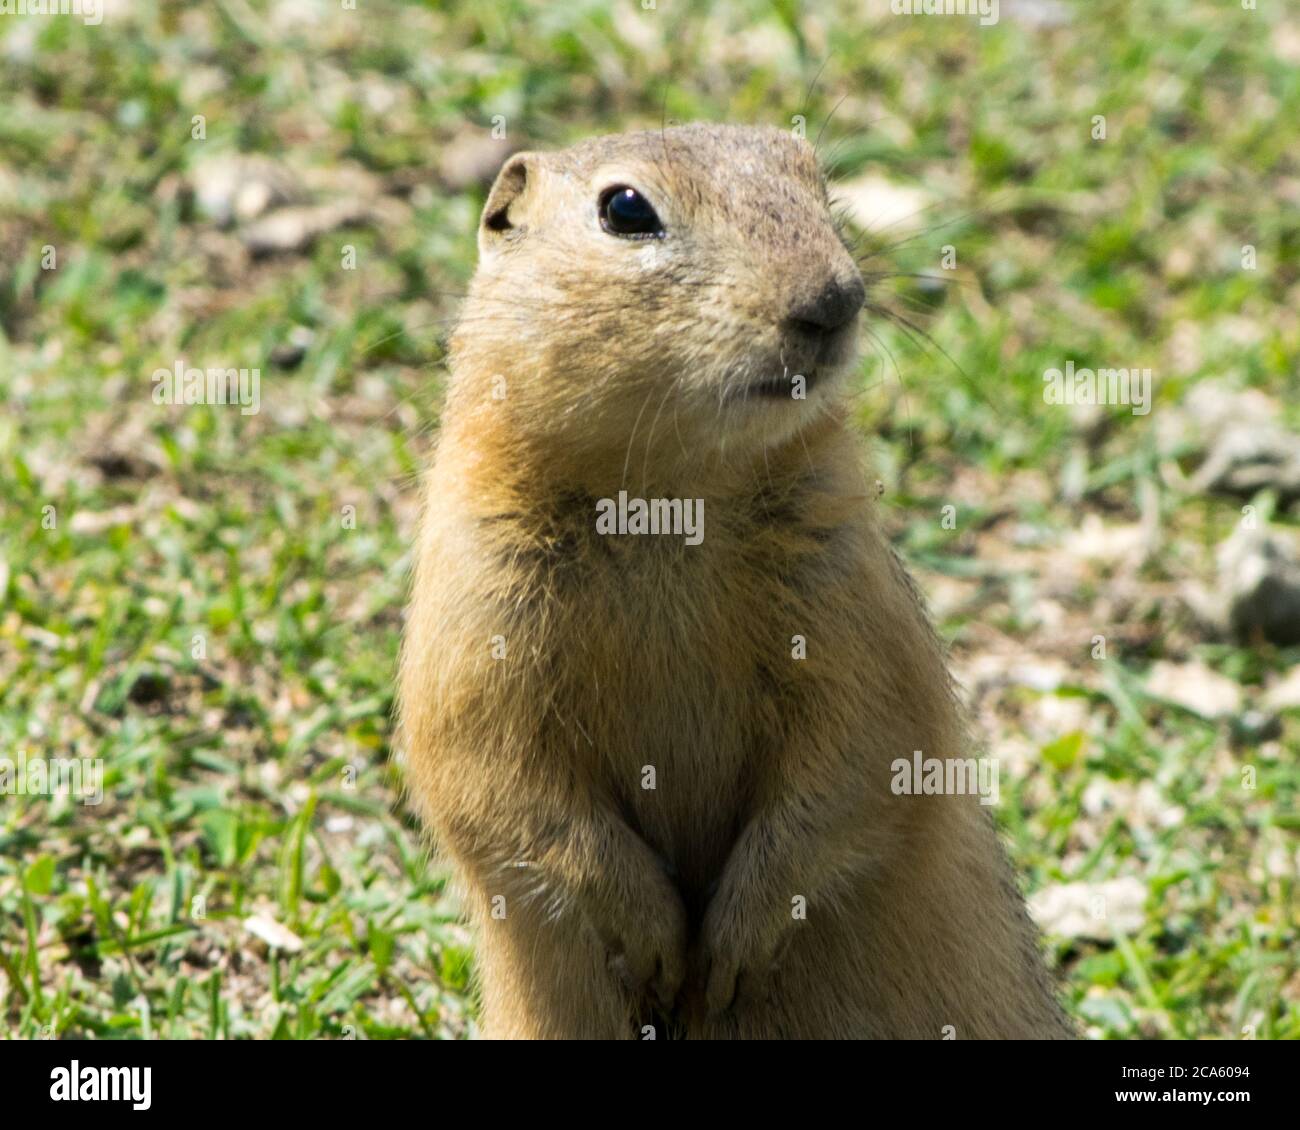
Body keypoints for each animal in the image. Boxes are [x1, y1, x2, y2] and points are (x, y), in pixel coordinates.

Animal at [399, 123, 1074, 1039]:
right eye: (625, 208)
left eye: (814, 179)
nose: (836, 299)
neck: (668, 497)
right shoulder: (476, 603)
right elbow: (491, 770)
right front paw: (654, 940)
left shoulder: (849, 594)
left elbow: (867, 751)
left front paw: (733, 947)